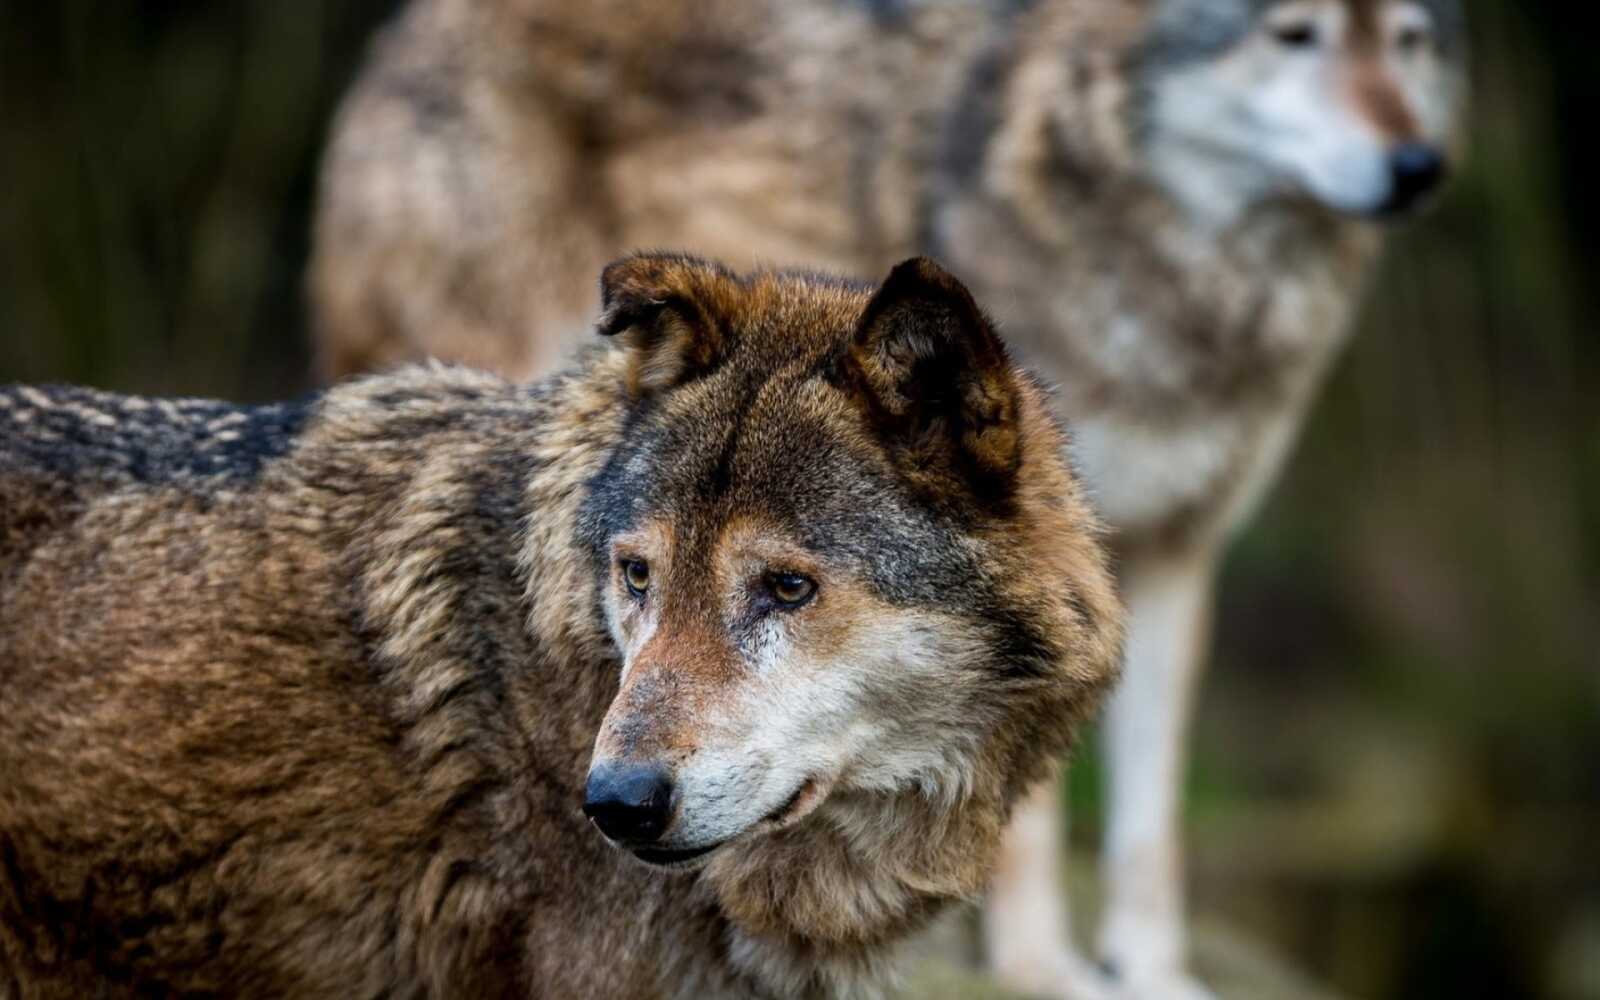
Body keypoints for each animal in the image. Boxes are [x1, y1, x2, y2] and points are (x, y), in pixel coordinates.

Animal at [309, 1, 1467, 994]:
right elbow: (1026, 821)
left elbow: (1149, 818)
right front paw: (1038, 970)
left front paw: (1149, 974)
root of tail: (412, 29)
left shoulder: (1177, 550)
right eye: (1294, 34)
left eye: (1406, 40)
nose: (1420, 166)